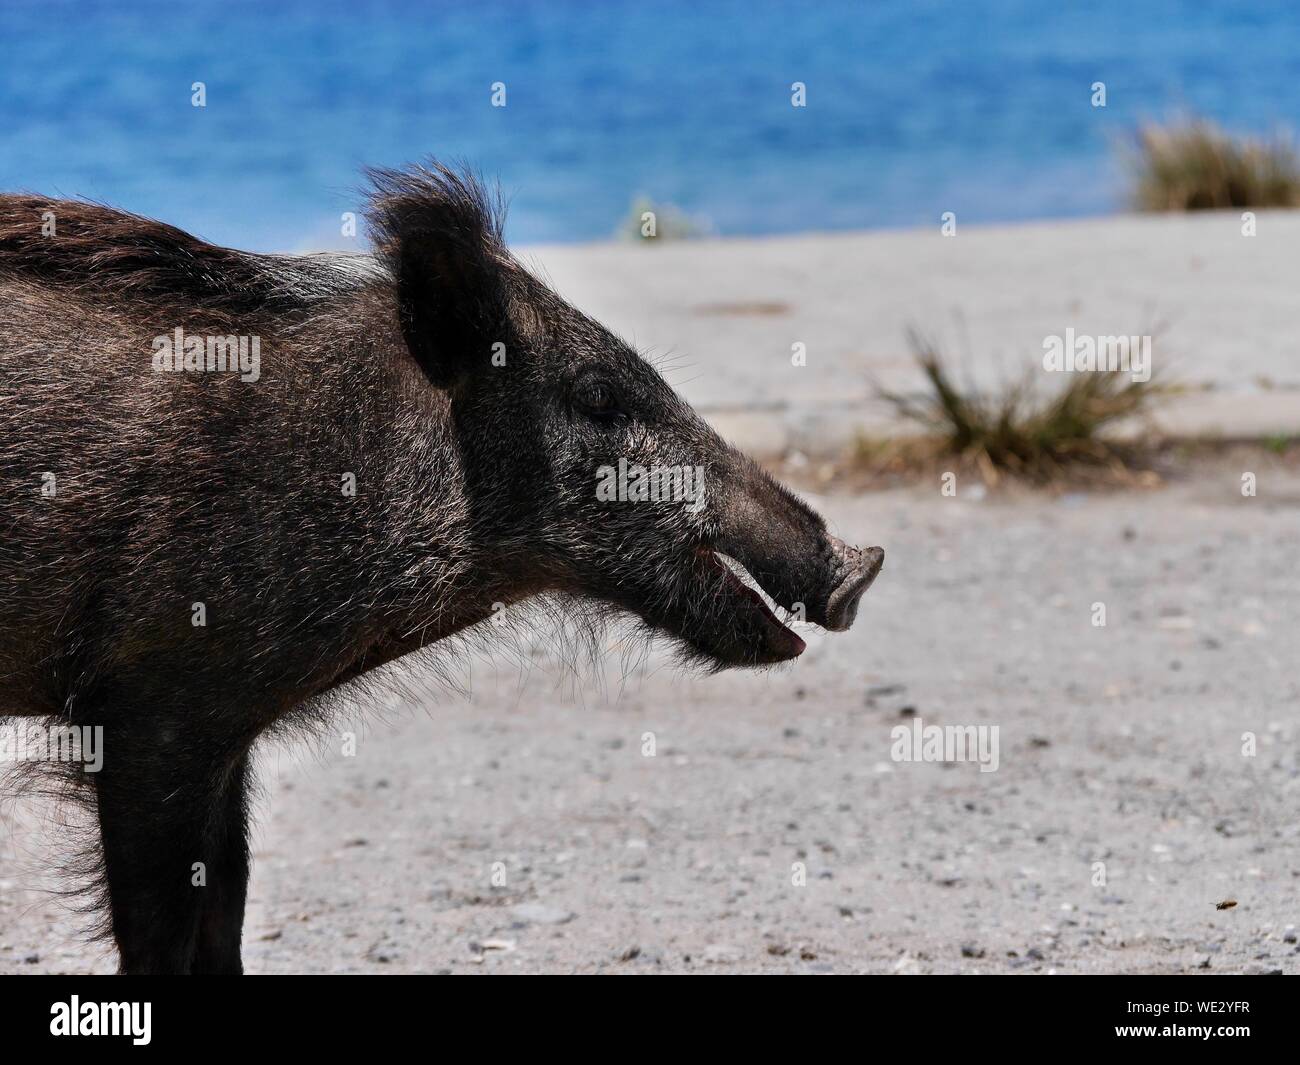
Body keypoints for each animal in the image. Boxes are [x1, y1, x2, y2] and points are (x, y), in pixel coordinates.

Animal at [0, 162, 883, 973]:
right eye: (598, 394)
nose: (862, 565)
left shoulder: (221, 728)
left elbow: (228, 914)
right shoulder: (149, 706)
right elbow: (165, 934)